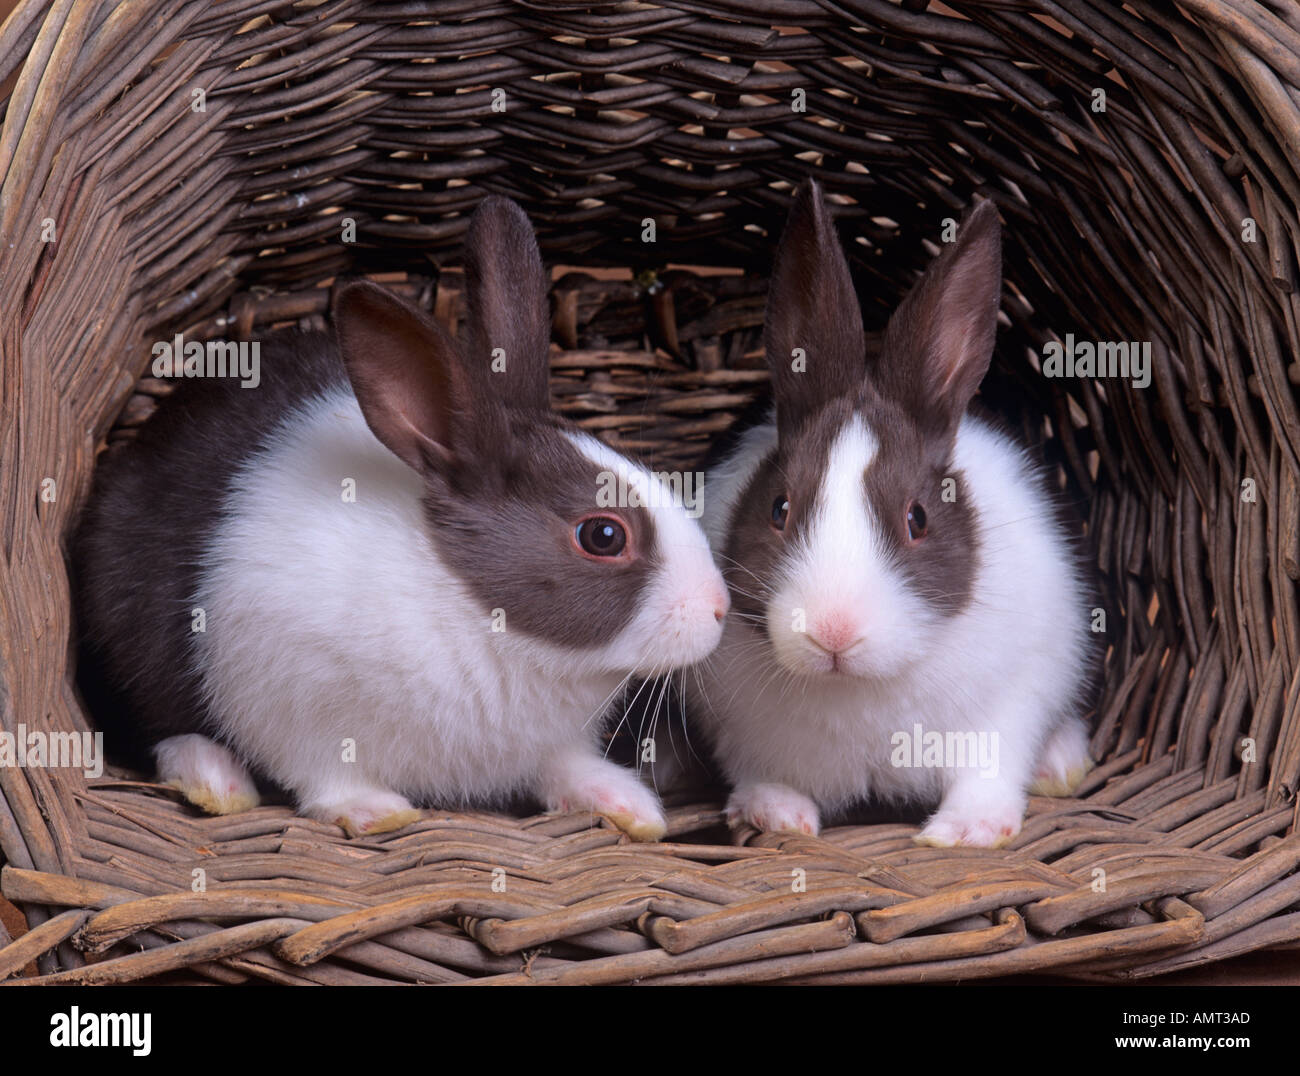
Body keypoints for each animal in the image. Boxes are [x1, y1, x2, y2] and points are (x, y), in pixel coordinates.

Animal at [73, 195, 730, 841]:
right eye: (603, 534)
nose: (719, 607)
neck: (486, 623)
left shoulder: (554, 744)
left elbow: (565, 765)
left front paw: (630, 806)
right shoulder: (289, 706)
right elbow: (323, 776)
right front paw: (375, 811)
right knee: (153, 726)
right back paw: (215, 781)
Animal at [686, 180, 1094, 848]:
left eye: (917, 519)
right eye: (779, 508)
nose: (833, 632)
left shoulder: (1009, 705)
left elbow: (990, 769)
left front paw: (966, 832)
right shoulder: (739, 731)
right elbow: (761, 774)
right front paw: (777, 814)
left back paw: (1061, 764)